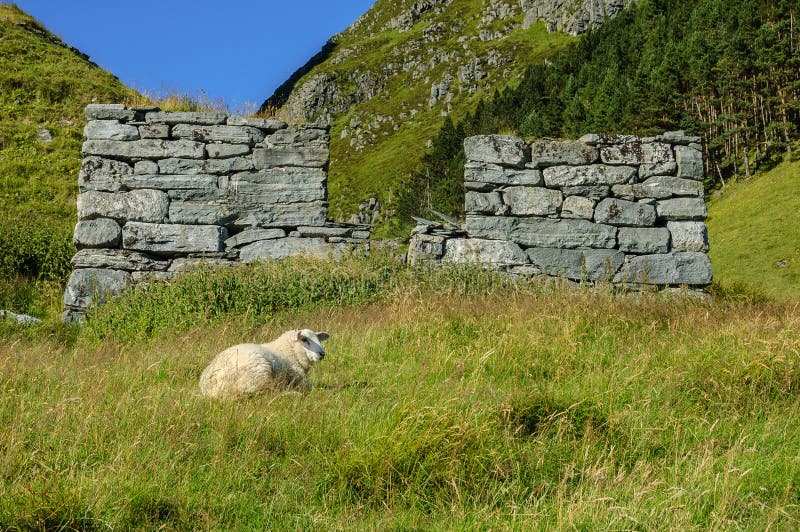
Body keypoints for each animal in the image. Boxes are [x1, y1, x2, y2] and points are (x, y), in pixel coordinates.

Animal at [199, 329, 330, 400]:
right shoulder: (298, 376)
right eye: (304, 339)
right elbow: (312, 388)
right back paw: (292, 394)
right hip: (258, 376)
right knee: (266, 395)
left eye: (318, 339)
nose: (322, 354)